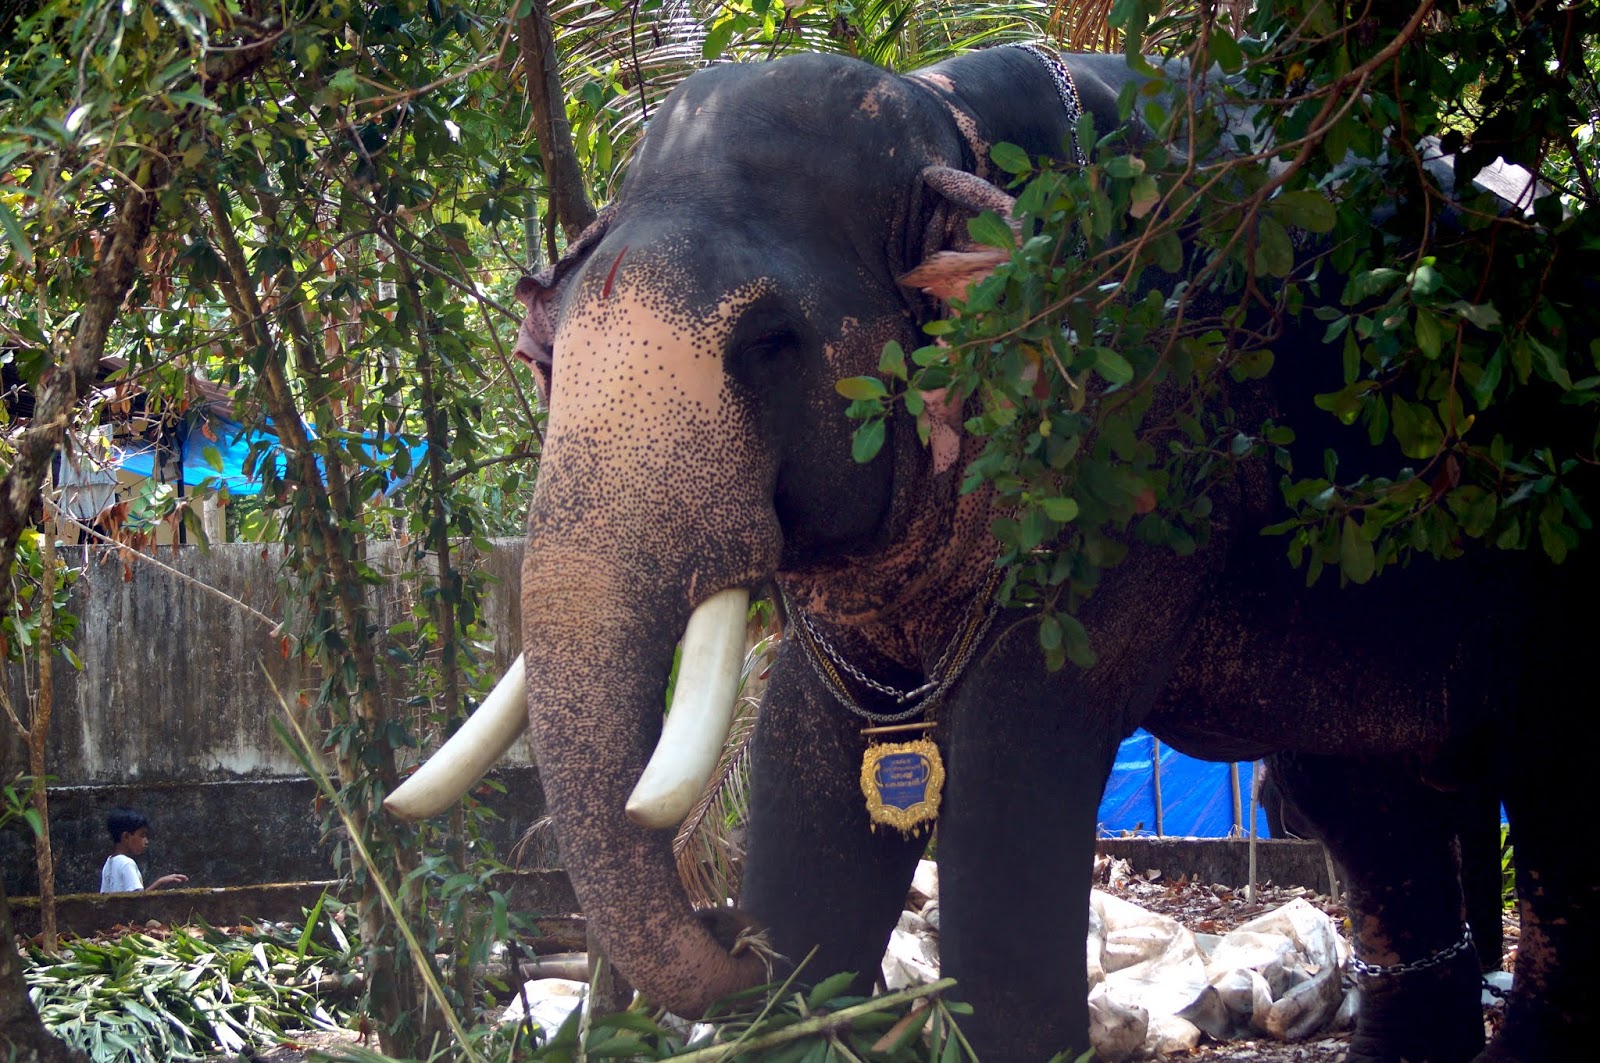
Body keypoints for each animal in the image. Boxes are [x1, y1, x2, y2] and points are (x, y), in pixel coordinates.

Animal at [386, 45, 1600, 1062]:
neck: (943, 119)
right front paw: (801, 993)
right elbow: (807, 757)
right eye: (543, 356)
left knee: (1552, 810)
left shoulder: (1134, 443)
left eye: (768, 344)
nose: (729, 933)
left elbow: (1018, 764)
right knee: (1362, 796)